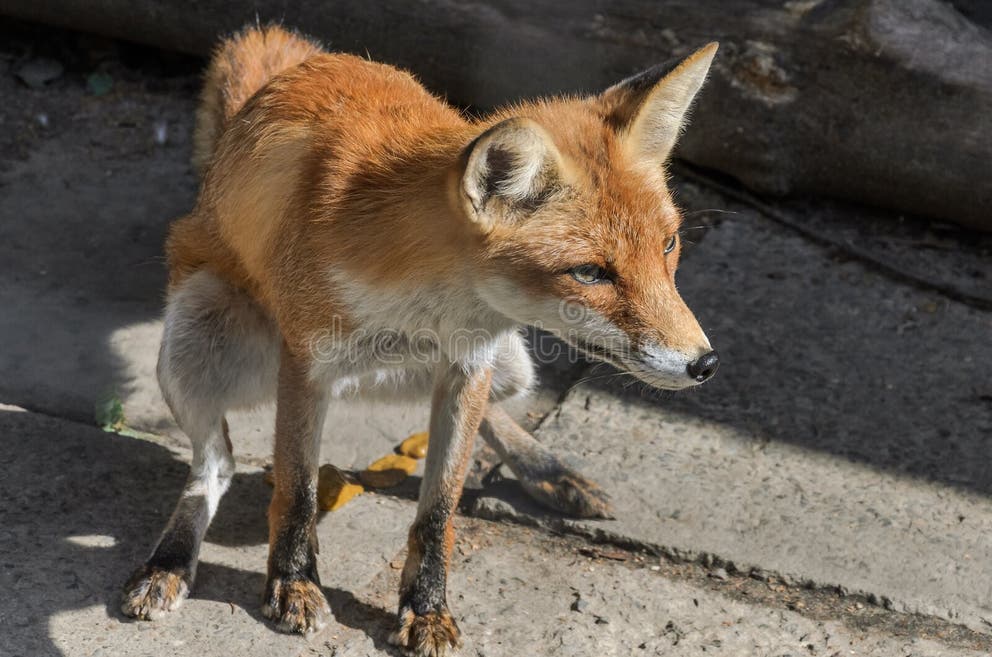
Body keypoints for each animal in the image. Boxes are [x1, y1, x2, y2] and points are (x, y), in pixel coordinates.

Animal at [120, 24, 720, 656]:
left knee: (490, 415)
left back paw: (547, 469)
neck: (422, 309)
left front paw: (427, 607)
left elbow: (440, 510)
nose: (705, 363)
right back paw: (169, 562)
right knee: (216, 464)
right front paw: (293, 581)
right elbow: (296, 488)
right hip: (195, 332)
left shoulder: (469, 365)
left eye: (669, 244)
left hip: (512, 364)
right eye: (589, 273)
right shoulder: (307, 364)